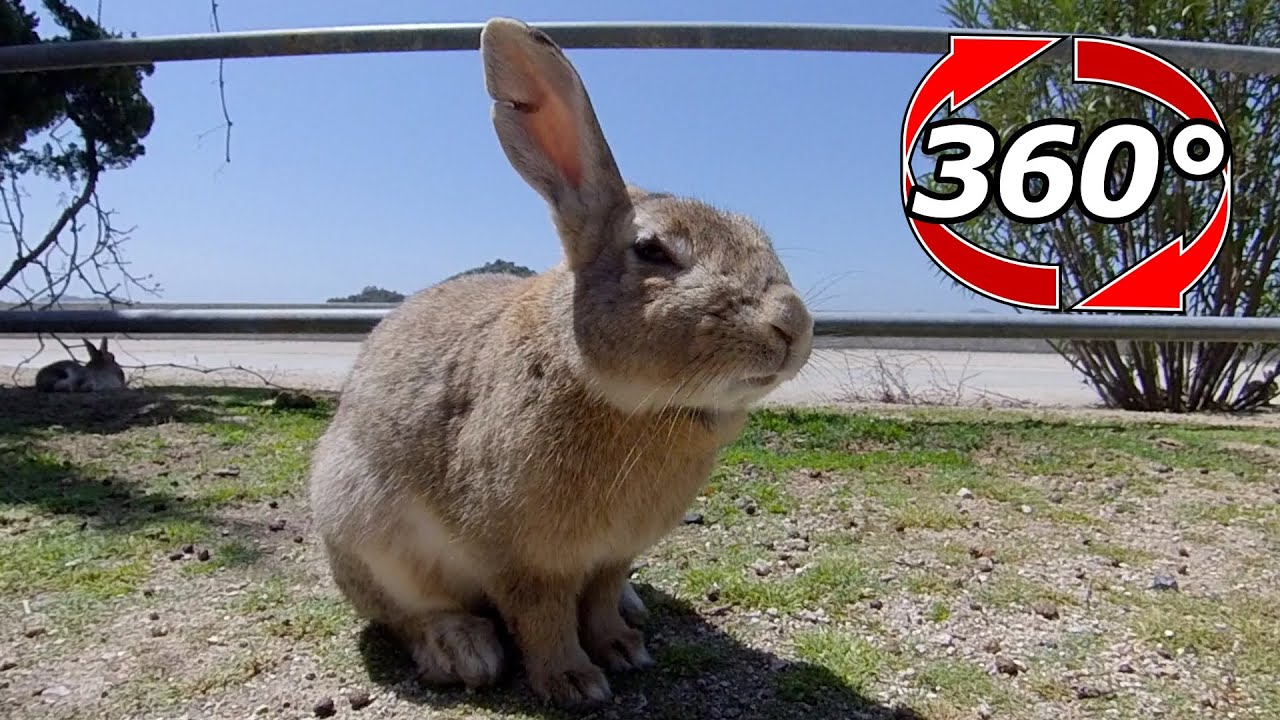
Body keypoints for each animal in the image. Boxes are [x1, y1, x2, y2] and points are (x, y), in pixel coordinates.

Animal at [306, 16, 814, 711]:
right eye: (652, 250)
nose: (792, 323)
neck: (633, 402)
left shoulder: (611, 554)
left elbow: (598, 598)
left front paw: (623, 649)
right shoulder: (521, 558)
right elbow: (542, 617)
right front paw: (575, 682)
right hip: (362, 527)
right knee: (402, 611)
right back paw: (462, 649)